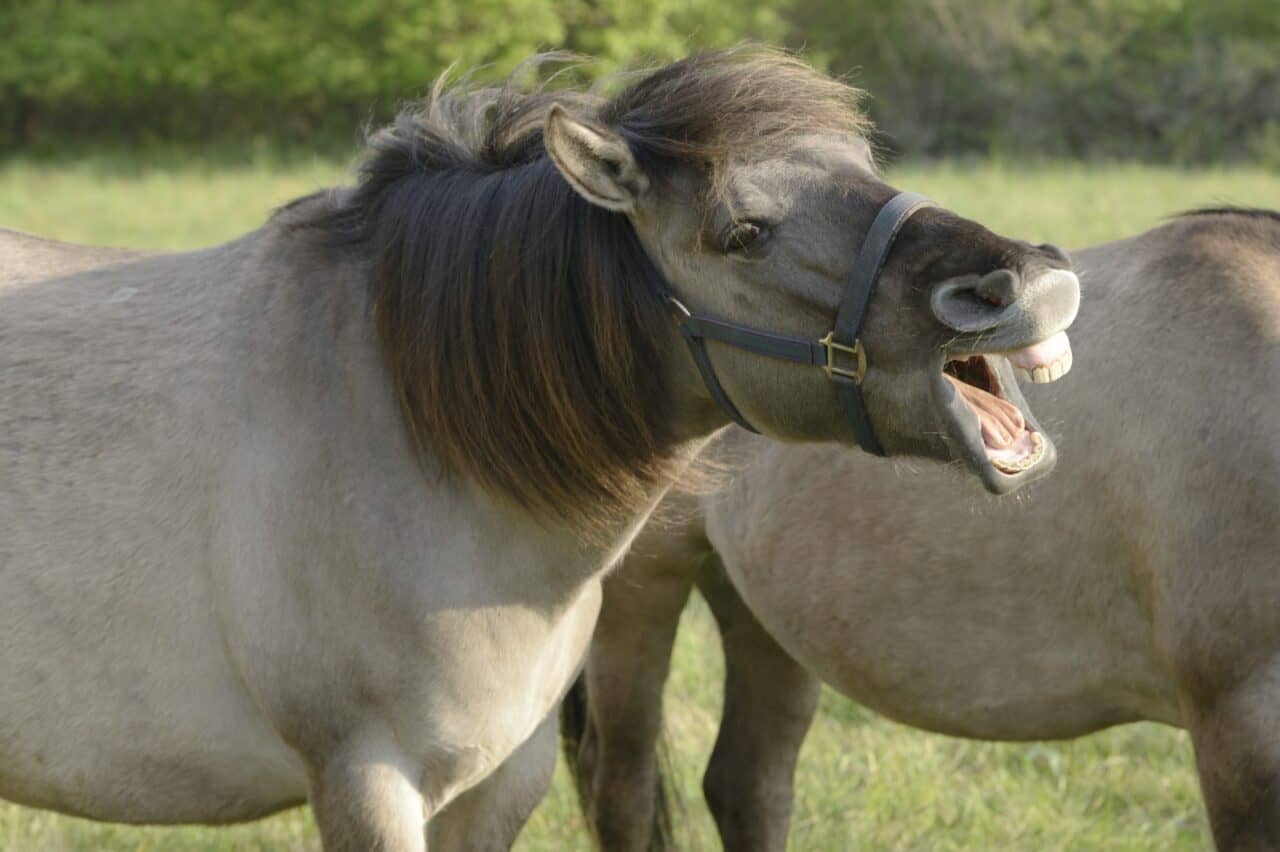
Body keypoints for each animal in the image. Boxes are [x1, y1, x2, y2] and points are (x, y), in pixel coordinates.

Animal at [0, 49, 1079, 850]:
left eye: (867, 174)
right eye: (741, 231)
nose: (1024, 282)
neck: (403, 420)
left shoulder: (500, 782)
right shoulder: (362, 781)